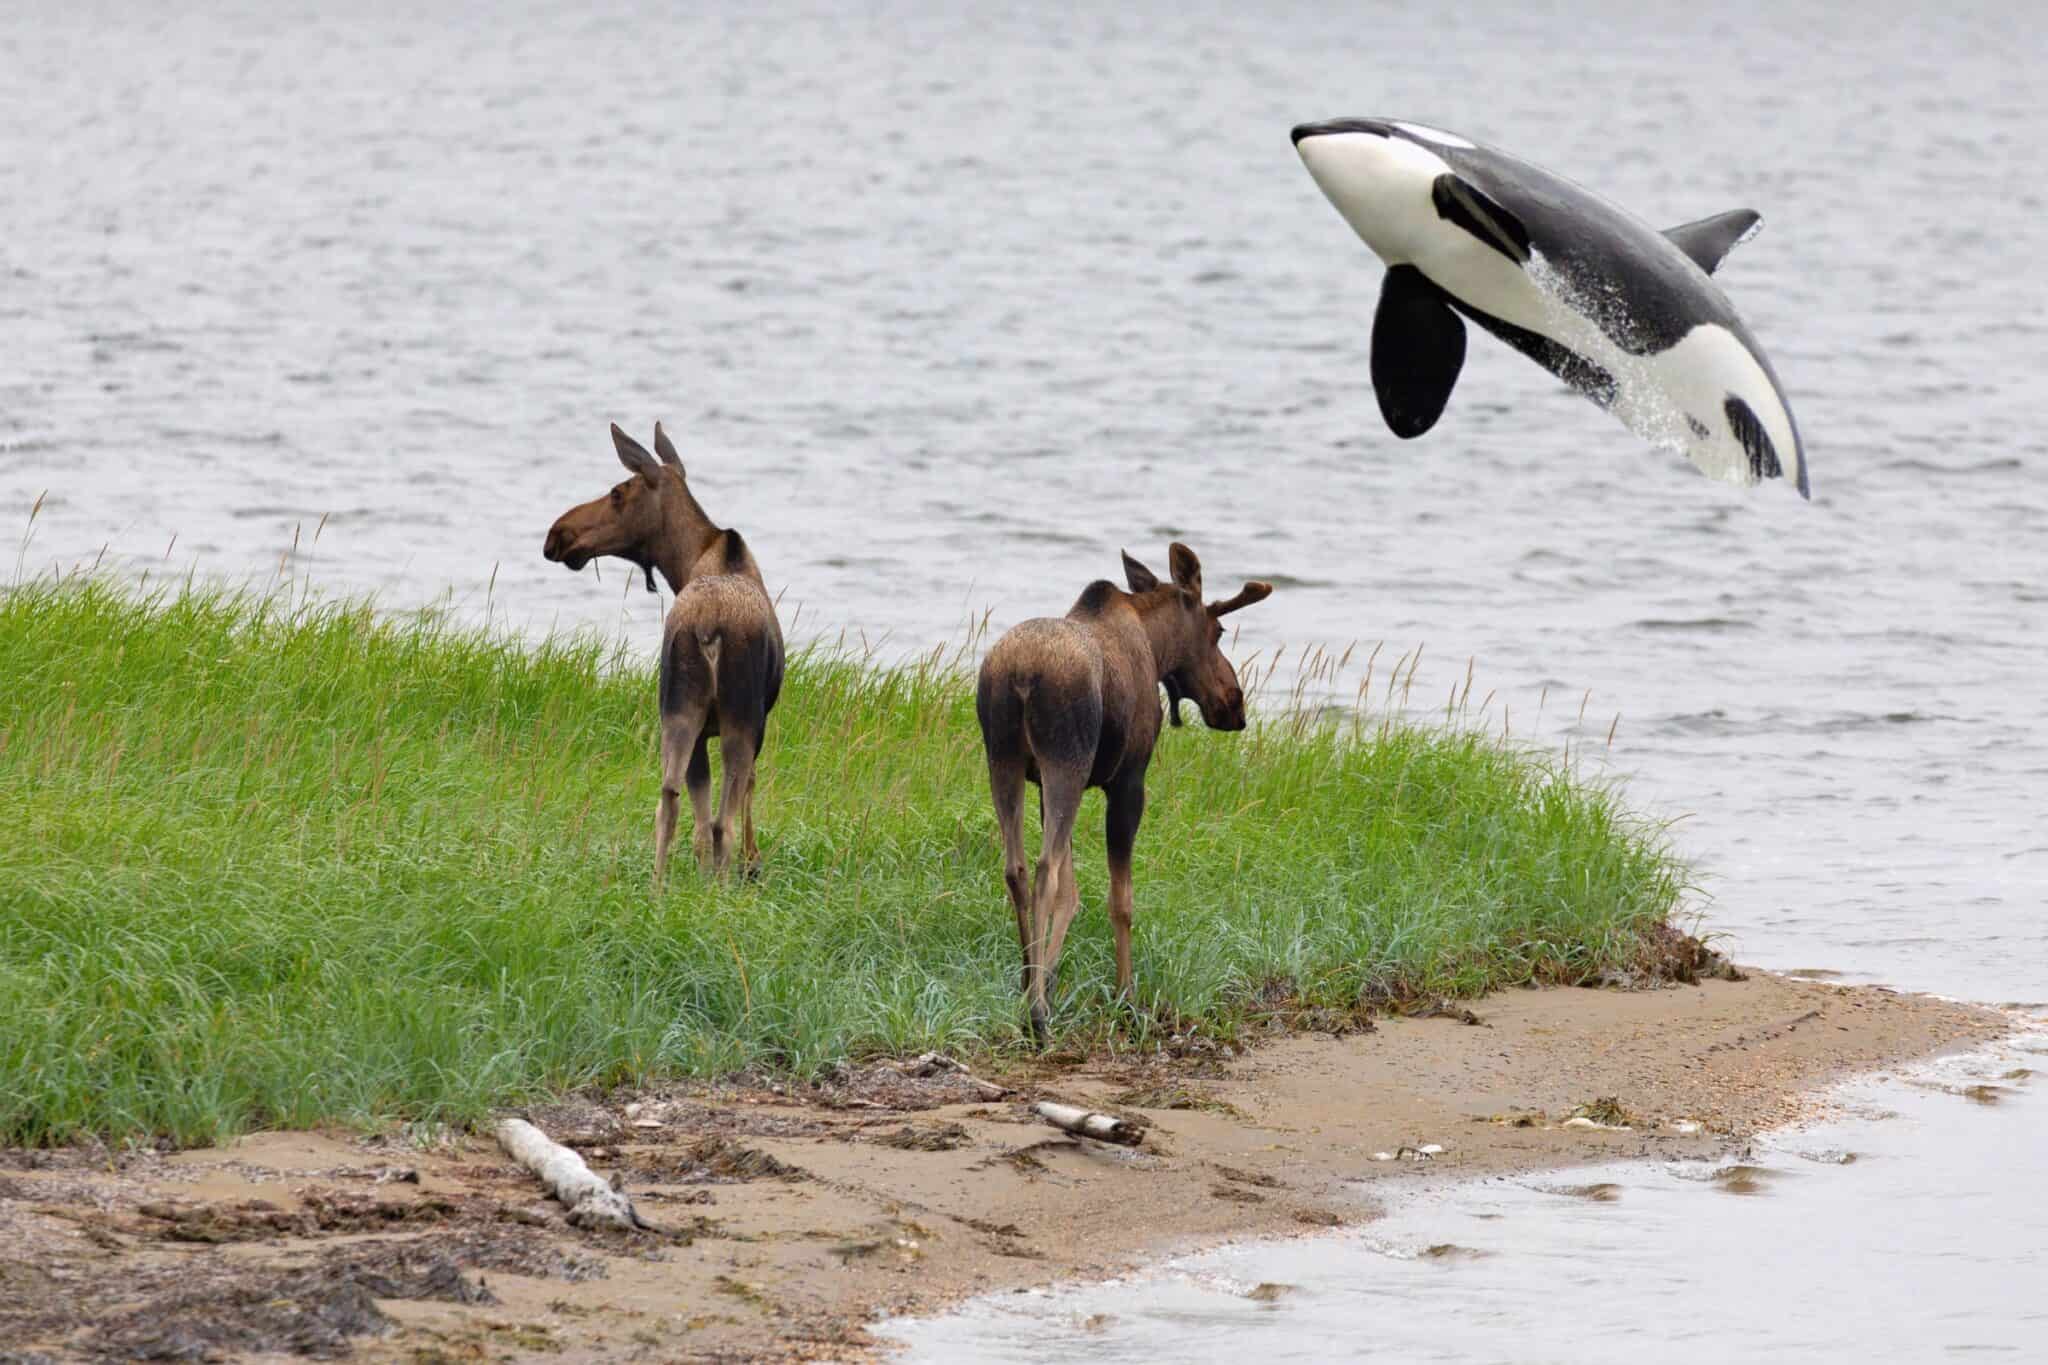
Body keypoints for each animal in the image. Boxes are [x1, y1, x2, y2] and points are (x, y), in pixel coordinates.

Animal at [543, 422, 784, 884]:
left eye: (617, 492)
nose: (557, 535)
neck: (686, 562)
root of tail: (708, 627)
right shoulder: (759, 721)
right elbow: (748, 791)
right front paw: (753, 863)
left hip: (676, 709)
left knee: (670, 798)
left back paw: (660, 886)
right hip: (737, 718)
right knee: (722, 819)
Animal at [975, 542, 1272, 1041]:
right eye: (1218, 631)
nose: (1235, 705)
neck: (1156, 645)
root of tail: (1019, 676)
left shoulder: (1042, 785)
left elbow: (1074, 894)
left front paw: (1047, 977)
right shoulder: (1129, 781)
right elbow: (1120, 900)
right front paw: (1125, 995)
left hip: (1004, 759)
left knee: (1016, 868)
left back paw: (1026, 985)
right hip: (1066, 761)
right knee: (1044, 869)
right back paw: (1036, 1013)